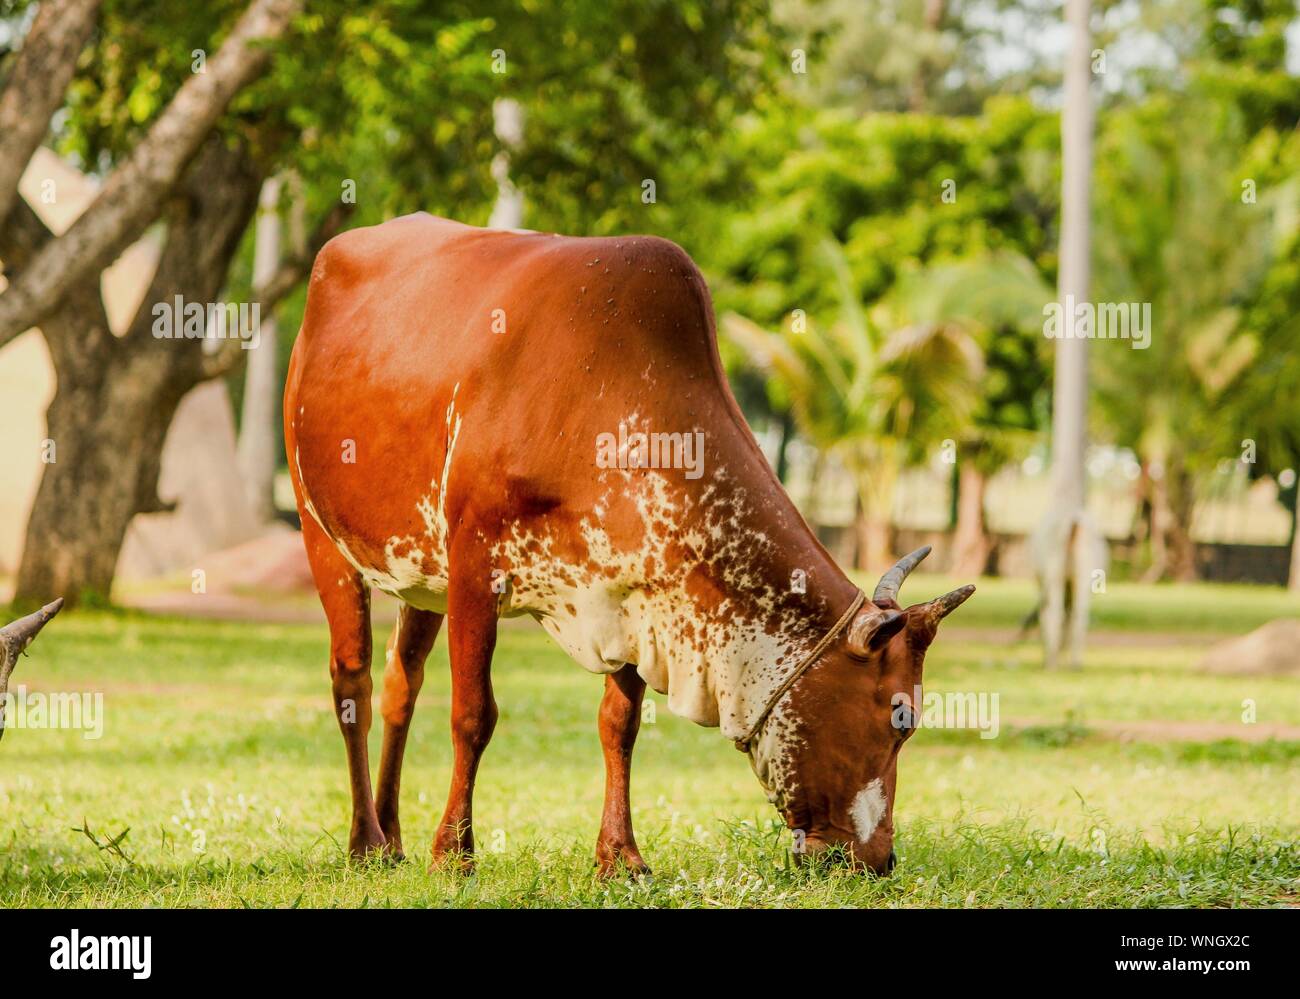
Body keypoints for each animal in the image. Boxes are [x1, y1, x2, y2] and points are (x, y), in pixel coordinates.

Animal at [284, 214, 974, 876]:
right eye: (901, 719)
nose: (881, 861)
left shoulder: (636, 594)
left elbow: (620, 725)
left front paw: (621, 855)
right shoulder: (475, 568)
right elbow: (473, 715)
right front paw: (455, 853)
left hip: (418, 577)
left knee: (402, 685)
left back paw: (392, 836)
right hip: (323, 531)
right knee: (353, 684)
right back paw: (367, 841)